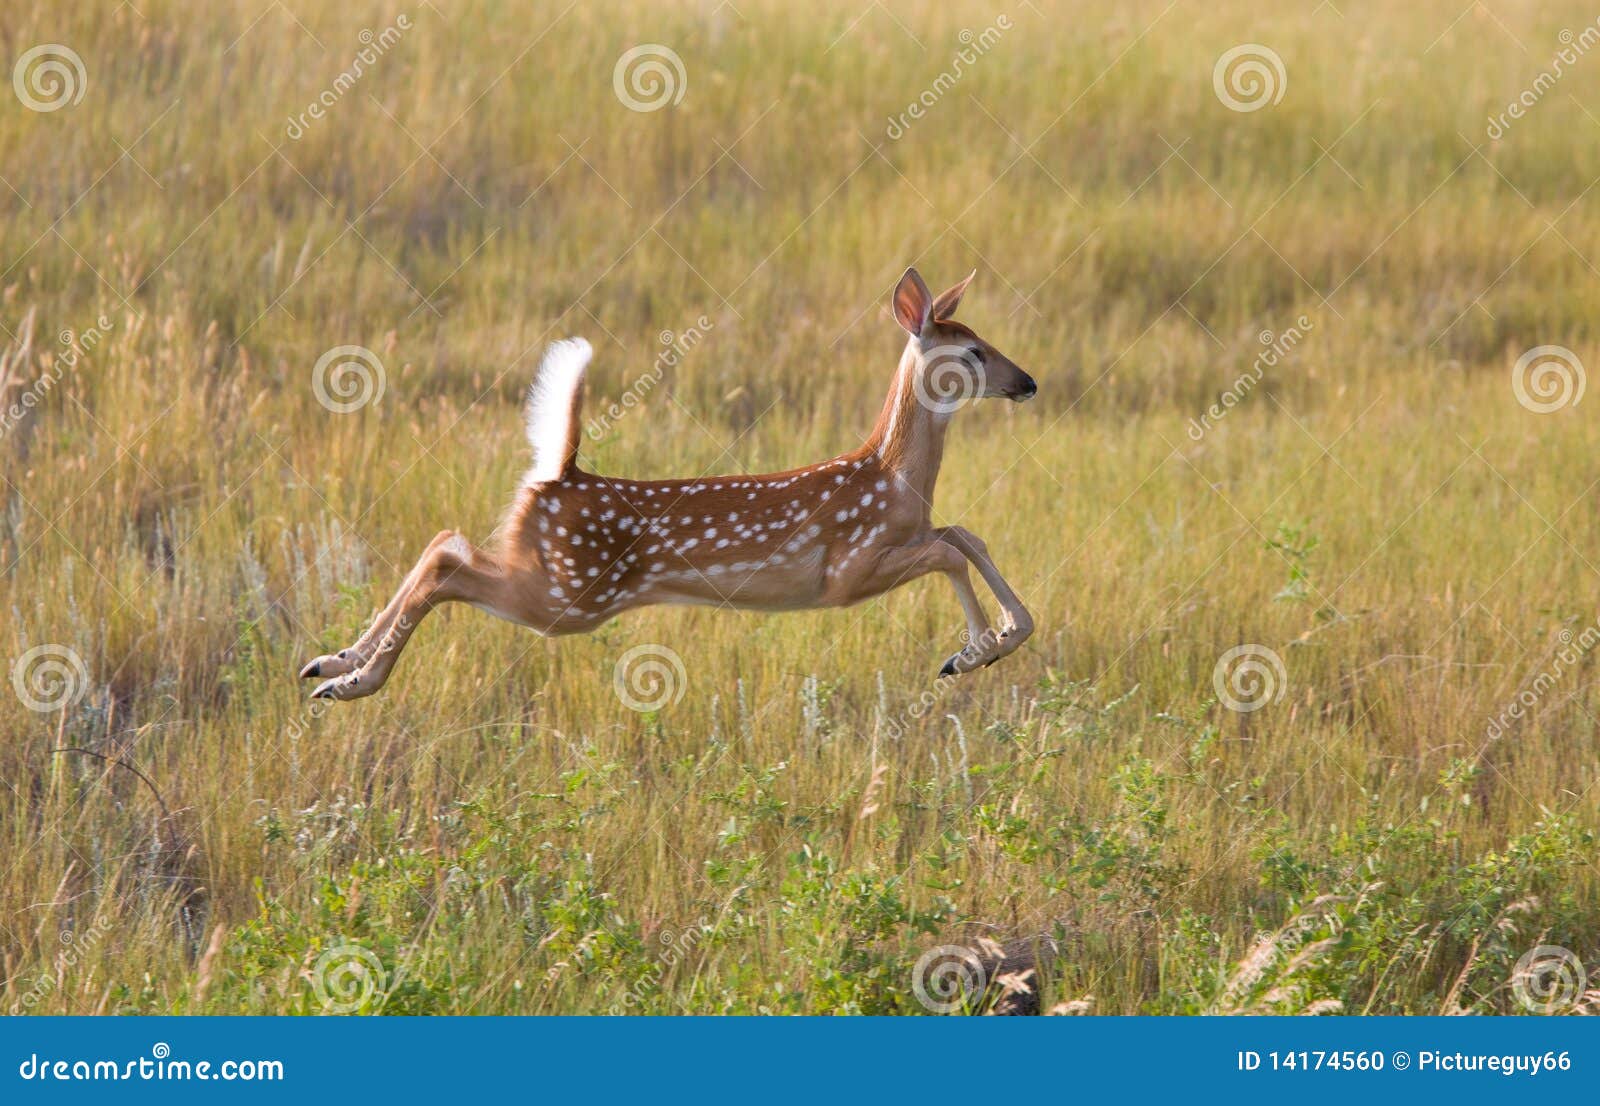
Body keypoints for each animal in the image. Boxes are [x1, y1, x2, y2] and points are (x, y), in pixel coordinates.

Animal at [299, 267, 1037, 701]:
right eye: (973, 351)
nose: (1026, 382)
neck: (894, 479)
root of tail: (558, 474)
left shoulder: (909, 534)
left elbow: (964, 535)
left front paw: (1001, 638)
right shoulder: (848, 570)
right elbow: (947, 550)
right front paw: (971, 654)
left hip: (551, 579)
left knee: (443, 541)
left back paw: (330, 662)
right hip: (567, 594)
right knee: (447, 566)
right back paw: (353, 681)